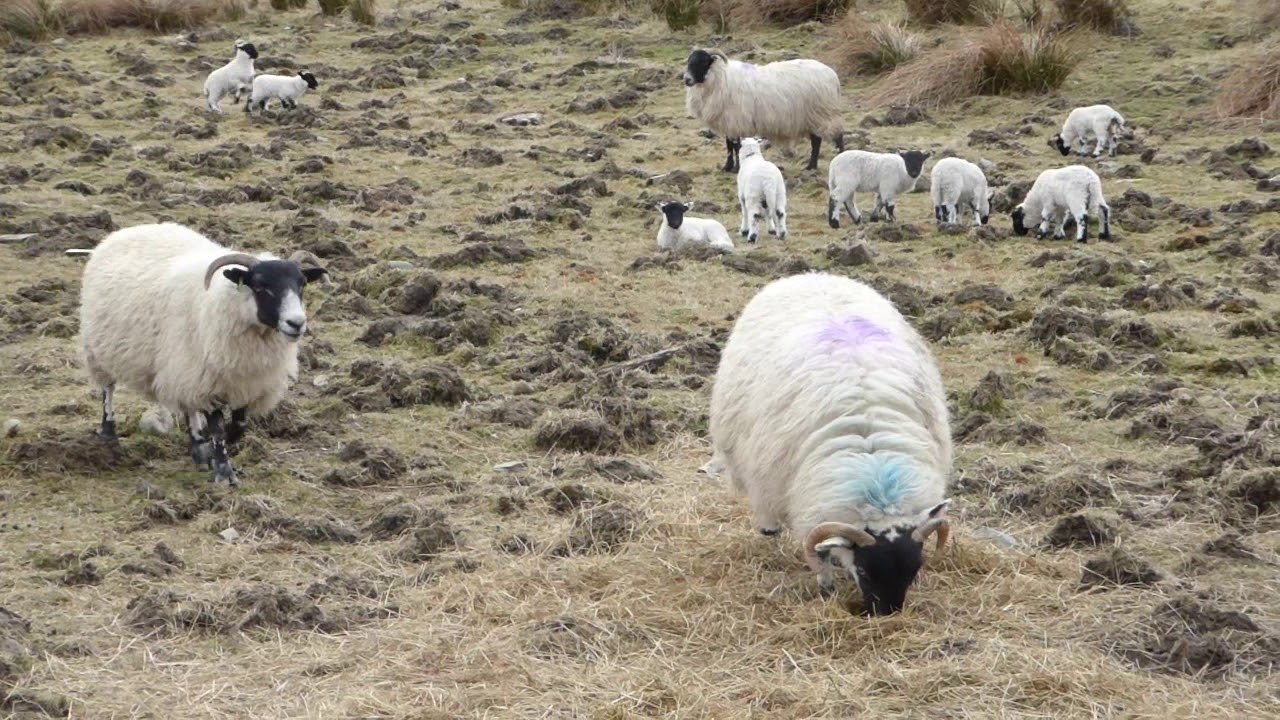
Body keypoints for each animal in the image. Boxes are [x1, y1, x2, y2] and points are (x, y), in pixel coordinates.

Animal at [73, 222, 329, 486]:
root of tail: (129, 230)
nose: (296, 323)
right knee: (108, 390)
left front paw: (213, 447)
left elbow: (239, 425)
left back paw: (198, 448)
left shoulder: (245, 383)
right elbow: (217, 428)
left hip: (182, 366)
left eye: (301, 285)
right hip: (100, 349)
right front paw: (224, 473)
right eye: (260, 286)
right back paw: (109, 433)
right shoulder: (208, 381)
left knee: (188, 406)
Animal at [683, 48, 846, 173]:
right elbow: (729, 145)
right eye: (689, 61)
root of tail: (833, 76)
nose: (687, 80)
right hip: (813, 116)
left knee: (837, 136)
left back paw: (840, 158)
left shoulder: (736, 121)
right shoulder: (729, 122)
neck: (720, 78)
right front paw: (727, 167)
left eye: (703, 62)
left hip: (824, 113)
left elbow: (736, 147)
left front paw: (736, 168)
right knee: (816, 140)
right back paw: (811, 167)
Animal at [709, 271, 952, 615]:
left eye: (915, 569)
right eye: (864, 570)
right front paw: (825, 585)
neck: (874, 466)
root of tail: (810, 275)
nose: (885, 615)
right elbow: (819, 551)